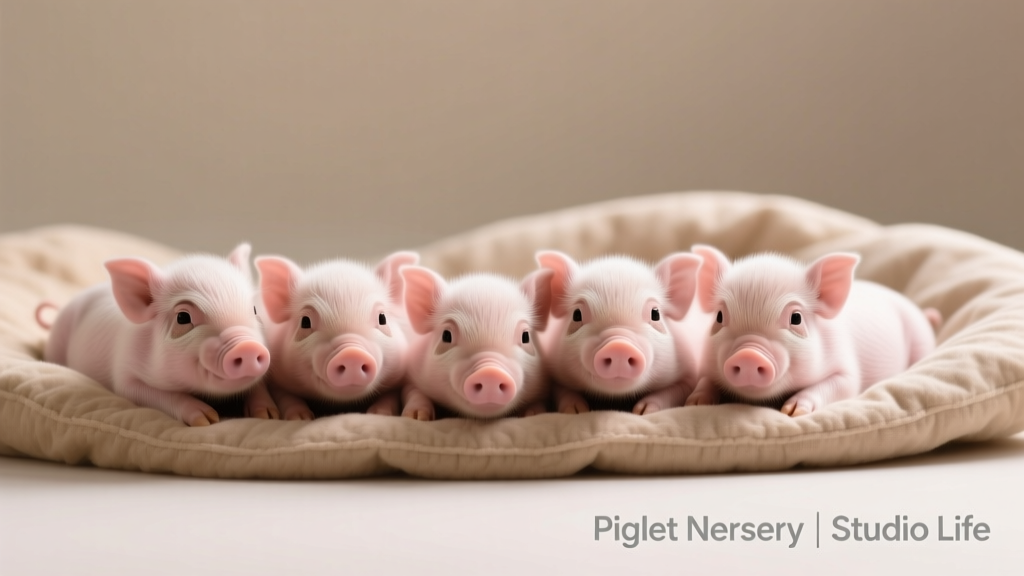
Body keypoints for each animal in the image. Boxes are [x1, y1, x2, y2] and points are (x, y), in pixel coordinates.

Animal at [42, 244, 273, 426]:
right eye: (183, 317)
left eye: (254, 309)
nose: (247, 346)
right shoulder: (125, 372)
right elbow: (146, 392)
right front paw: (206, 419)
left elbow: (258, 384)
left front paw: (268, 415)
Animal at [255, 252, 418, 420]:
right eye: (305, 321)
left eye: (382, 318)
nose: (352, 353)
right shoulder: (278, 380)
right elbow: (287, 397)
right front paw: (301, 417)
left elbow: (390, 396)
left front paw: (378, 414)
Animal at [399, 266, 553, 420]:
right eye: (446, 335)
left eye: (525, 336)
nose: (490, 372)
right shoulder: (411, 374)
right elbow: (413, 391)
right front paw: (416, 417)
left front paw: (533, 415)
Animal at [535, 251, 710, 415]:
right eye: (577, 315)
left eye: (655, 314)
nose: (618, 345)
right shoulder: (555, 373)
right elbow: (562, 391)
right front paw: (577, 410)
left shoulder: (689, 374)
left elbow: (674, 391)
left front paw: (643, 411)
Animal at [685, 245, 941, 416]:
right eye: (719, 316)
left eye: (796, 318)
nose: (748, 354)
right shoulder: (706, 364)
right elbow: (706, 379)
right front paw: (695, 404)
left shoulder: (847, 369)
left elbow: (840, 385)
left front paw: (793, 411)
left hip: (920, 339)